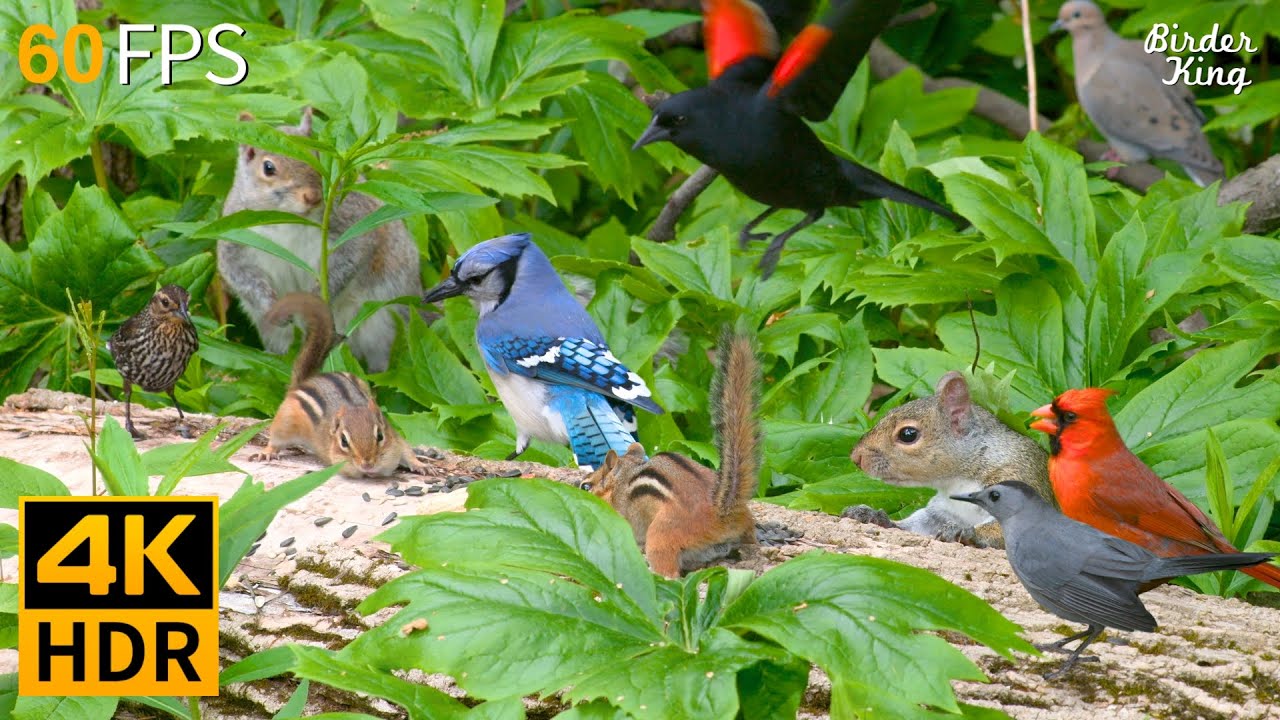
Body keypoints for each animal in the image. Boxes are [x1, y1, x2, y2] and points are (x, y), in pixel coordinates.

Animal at [218, 107, 422, 373]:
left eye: (318, 155)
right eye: (268, 168)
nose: (313, 196)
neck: (289, 219)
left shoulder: (351, 225)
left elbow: (350, 259)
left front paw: (314, 301)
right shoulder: (233, 240)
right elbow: (240, 276)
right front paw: (272, 305)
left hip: (384, 322)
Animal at [249, 293, 426, 478]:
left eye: (380, 436)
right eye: (344, 441)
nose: (367, 464)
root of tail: (307, 380)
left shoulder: (395, 438)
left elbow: (406, 449)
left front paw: (419, 464)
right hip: (284, 422)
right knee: (275, 439)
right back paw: (267, 452)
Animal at [580, 330, 760, 577]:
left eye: (585, 487)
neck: (623, 476)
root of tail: (722, 512)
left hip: (662, 534)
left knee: (670, 571)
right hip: (743, 525)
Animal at [846, 371, 1056, 548]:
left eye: (908, 434)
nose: (856, 457)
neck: (960, 479)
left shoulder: (1020, 481)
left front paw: (964, 532)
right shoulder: (943, 512)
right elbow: (918, 524)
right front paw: (876, 516)